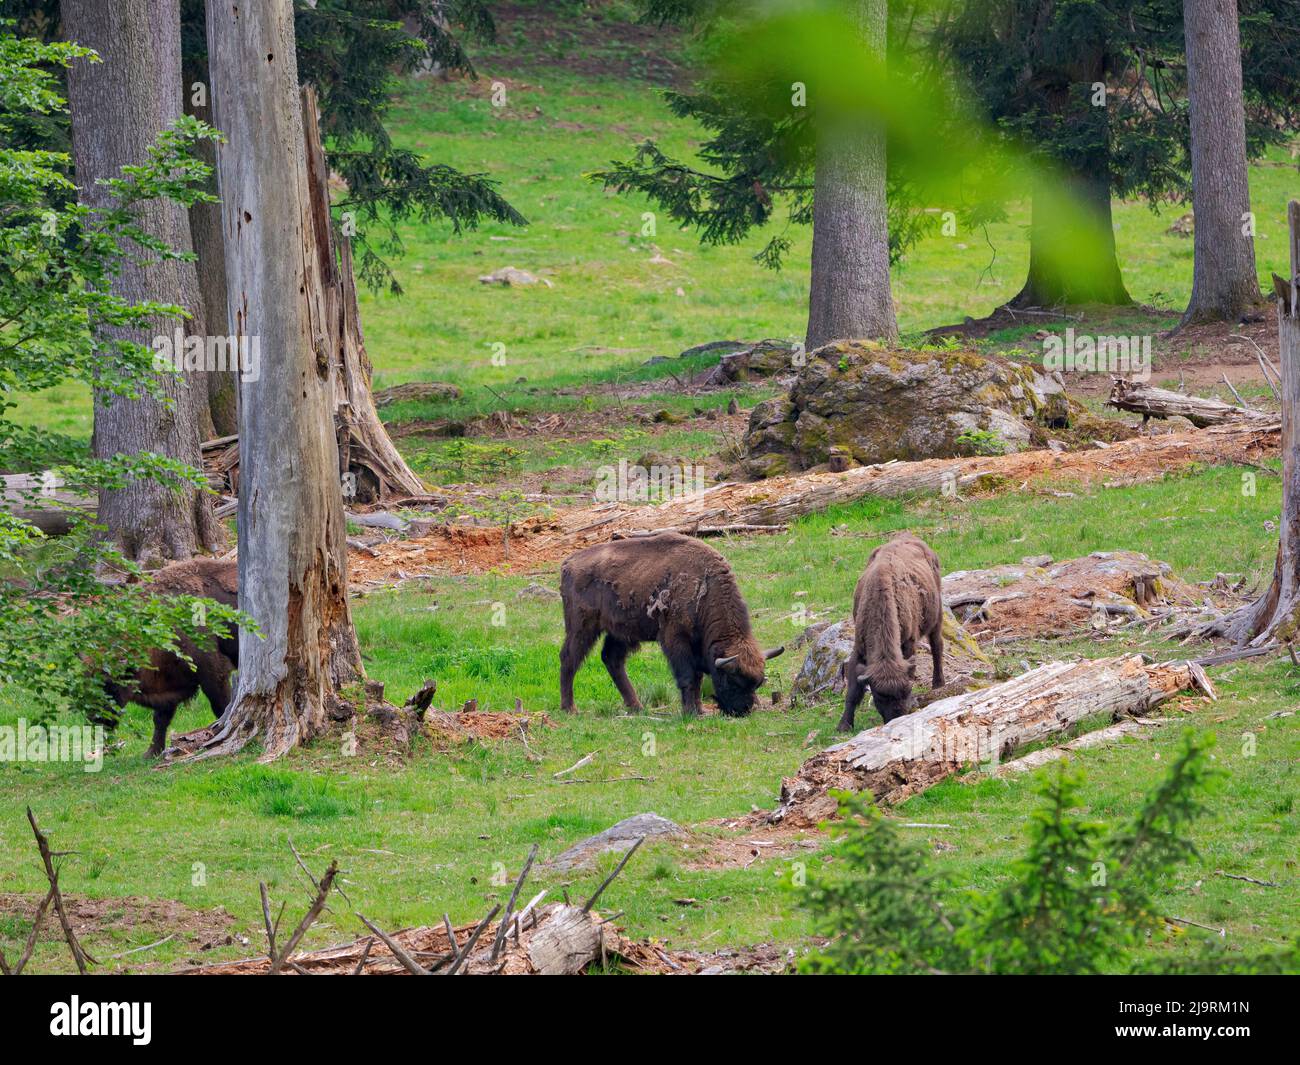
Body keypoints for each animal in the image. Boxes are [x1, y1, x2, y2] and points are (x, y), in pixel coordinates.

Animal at [559, 532, 783, 717]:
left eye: (757, 683)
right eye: (732, 680)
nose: (744, 710)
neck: (705, 586)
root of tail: (568, 563)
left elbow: (698, 676)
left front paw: (699, 709)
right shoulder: (676, 639)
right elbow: (688, 676)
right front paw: (690, 712)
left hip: (621, 632)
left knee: (611, 659)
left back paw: (636, 706)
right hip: (582, 627)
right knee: (569, 658)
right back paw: (569, 708)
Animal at [837, 532, 944, 732]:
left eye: (907, 690)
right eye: (879, 696)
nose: (897, 717)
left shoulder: (908, 643)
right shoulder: (859, 648)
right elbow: (853, 691)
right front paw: (844, 725)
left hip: (937, 616)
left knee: (937, 646)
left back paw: (938, 683)